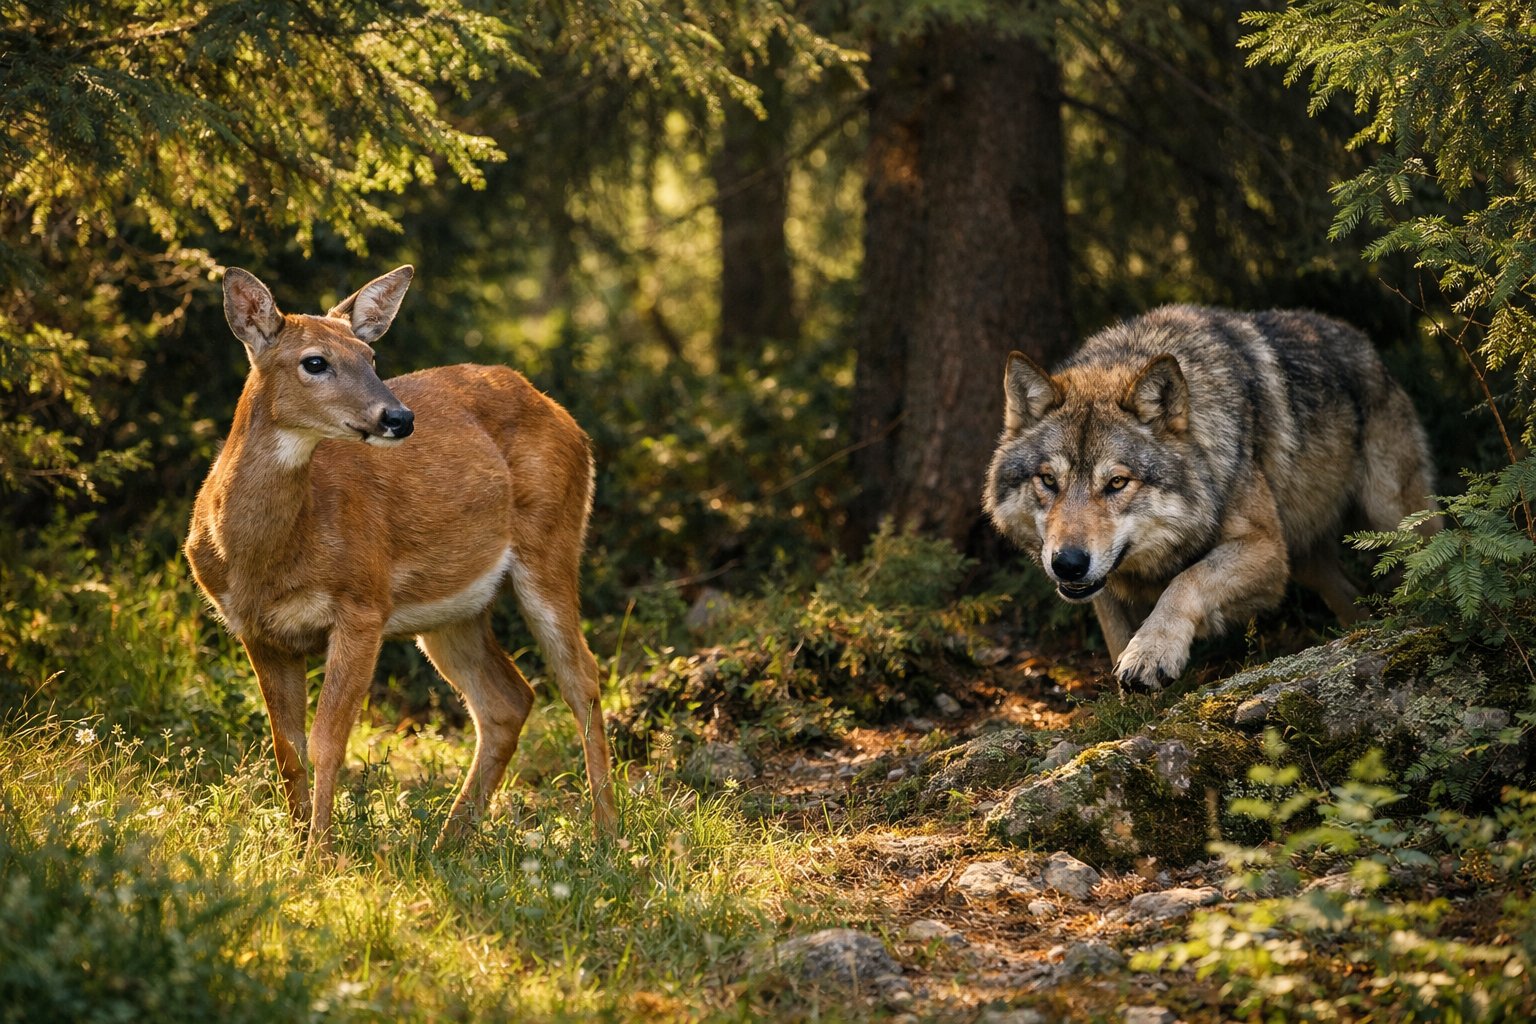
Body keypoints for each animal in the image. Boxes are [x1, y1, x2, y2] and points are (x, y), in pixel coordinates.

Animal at [185, 265, 618, 855]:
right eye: (314, 361)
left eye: (371, 358)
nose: (398, 417)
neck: (267, 557)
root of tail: (566, 418)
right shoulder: (257, 630)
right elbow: (286, 748)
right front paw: (295, 848)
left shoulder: (362, 605)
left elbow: (326, 742)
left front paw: (320, 856)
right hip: (453, 609)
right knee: (508, 699)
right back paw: (449, 840)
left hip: (552, 545)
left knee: (582, 679)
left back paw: (607, 833)